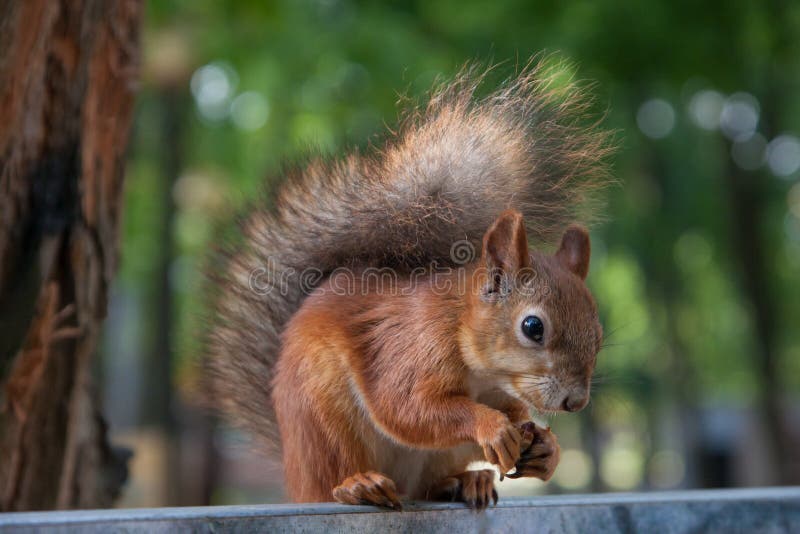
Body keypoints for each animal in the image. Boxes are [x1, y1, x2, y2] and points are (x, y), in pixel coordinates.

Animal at [204, 60, 612, 510]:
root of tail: (295, 476)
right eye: (533, 327)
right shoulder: (409, 351)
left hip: (432, 457)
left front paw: (547, 449)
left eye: (598, 335)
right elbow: (407, 408)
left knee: (428, 486)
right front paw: (491, 425)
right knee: (333, 480)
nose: (576, 402)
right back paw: (358, 486)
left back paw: (467, 481)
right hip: (324, 418)